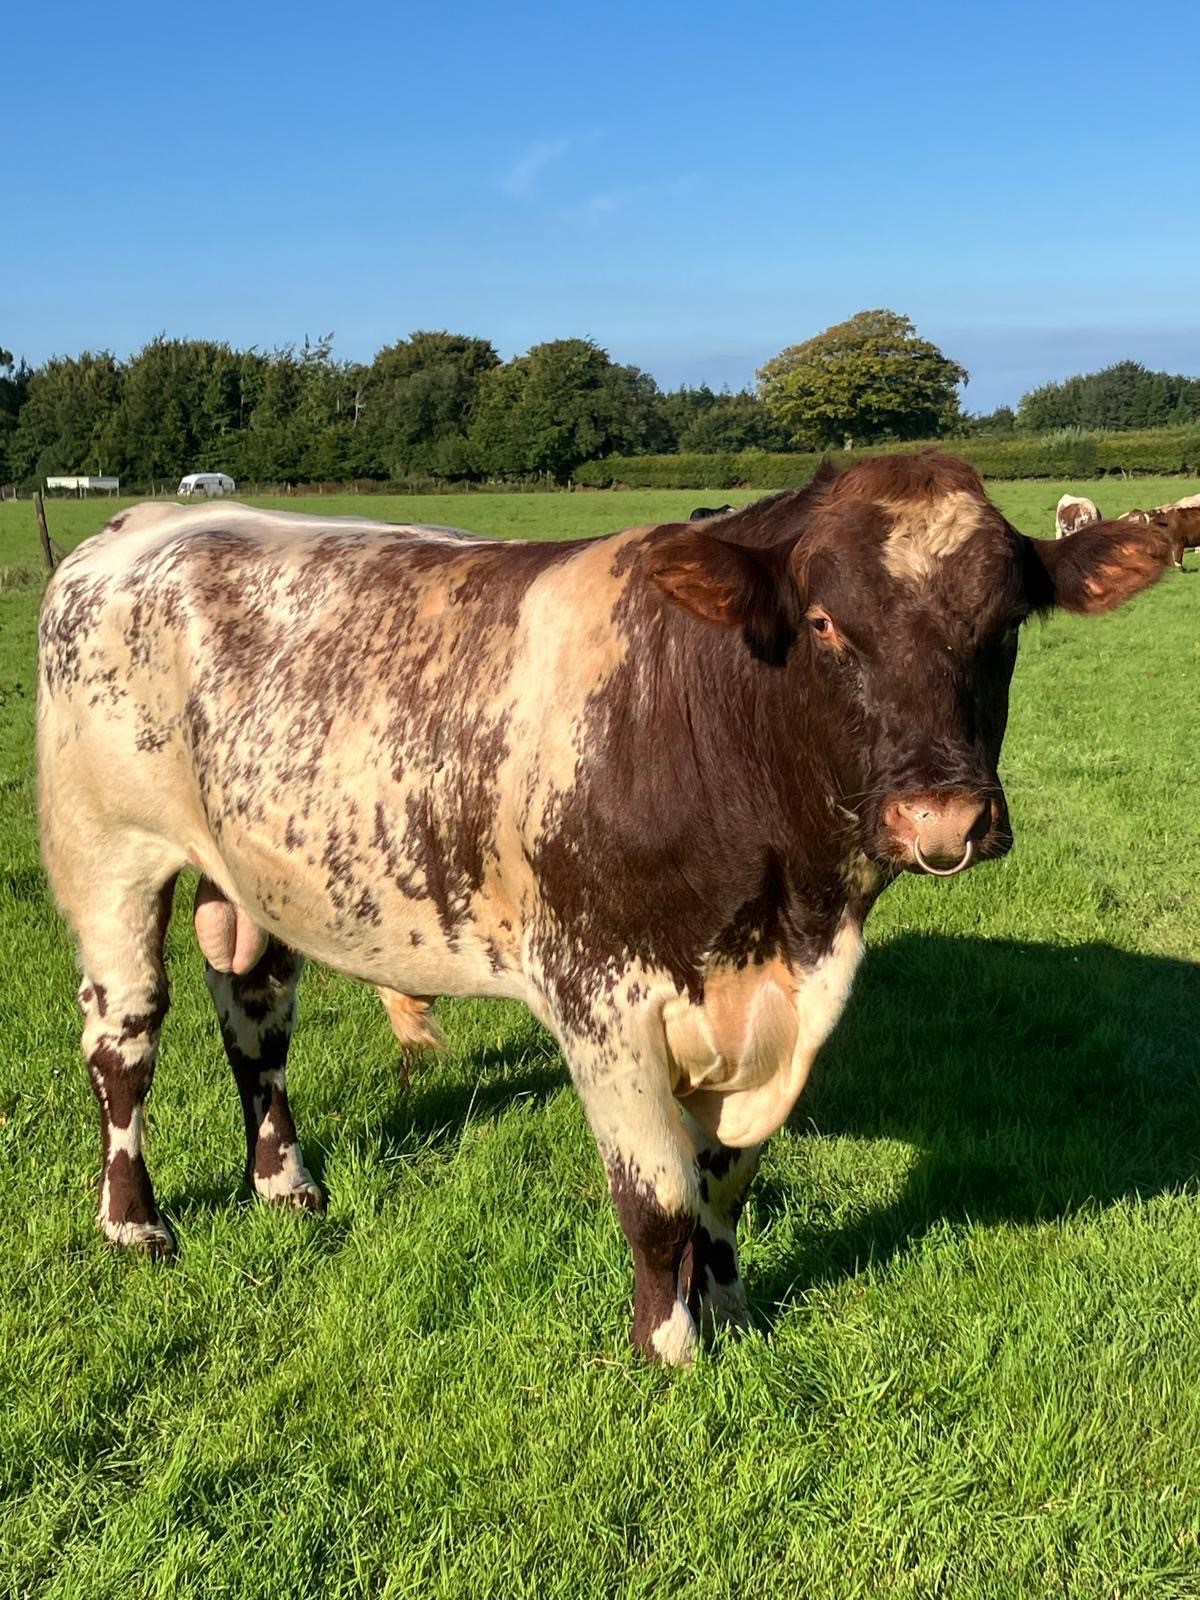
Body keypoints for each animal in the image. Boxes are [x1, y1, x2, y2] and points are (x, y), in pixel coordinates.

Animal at [37, 453, 1169, 1364]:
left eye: (1006, 625)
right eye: (823, 621)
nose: (943, 816)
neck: (789, 902)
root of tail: (134, 525)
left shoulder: (780, 1003)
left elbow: (724, 1182)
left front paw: (737, 1318)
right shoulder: (601, 997)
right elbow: (660, 1197)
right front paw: (668, 1350)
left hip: (253, 868)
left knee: (256, 1010)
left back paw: (285, 1184)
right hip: (107, 851)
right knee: (124, 1038)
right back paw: (136, 1224)